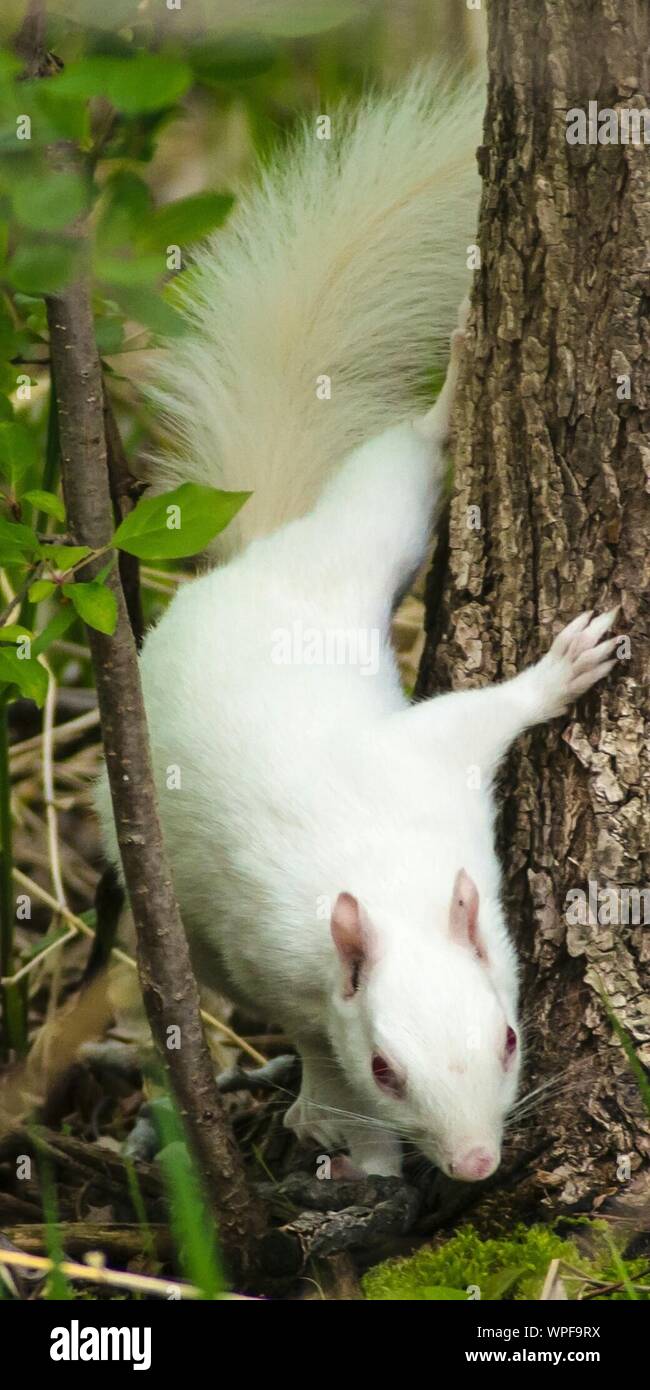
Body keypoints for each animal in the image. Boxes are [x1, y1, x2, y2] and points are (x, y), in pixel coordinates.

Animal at [96, 73, 620, 1181]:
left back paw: (458, 384)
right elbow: (308, 1030)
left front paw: (561, 670)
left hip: (367, 537)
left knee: (402, 461)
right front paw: (341, 1125)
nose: (474, 1166)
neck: (378, 866)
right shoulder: (269, 956)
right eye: (387, 1068)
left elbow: (484, 714)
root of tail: (245, 563)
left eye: (509, 1036)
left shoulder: (427, 760)